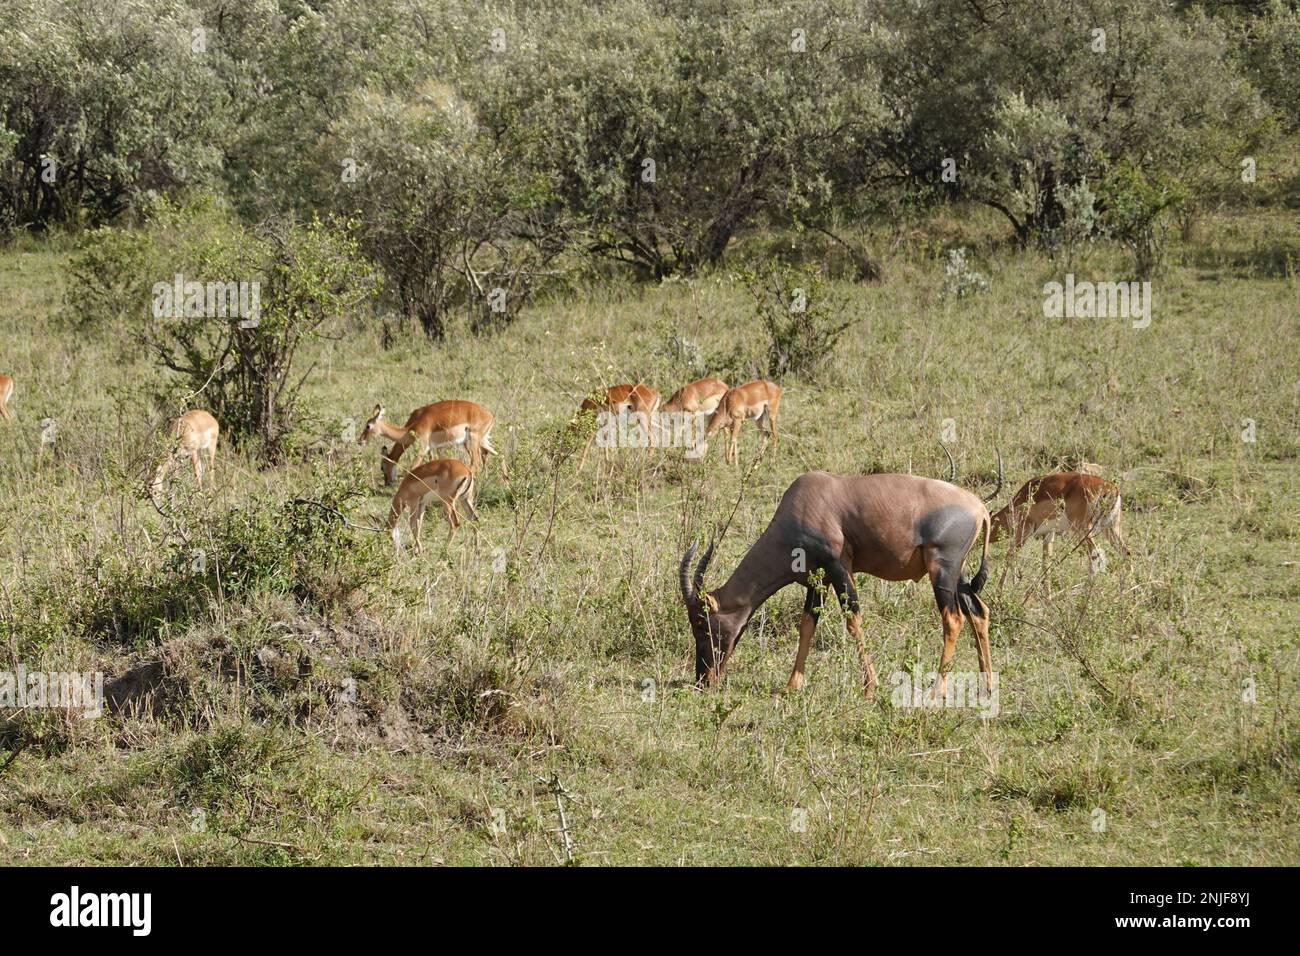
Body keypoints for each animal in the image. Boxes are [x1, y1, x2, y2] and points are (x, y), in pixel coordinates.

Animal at [359, 400, 498, 485]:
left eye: (368, 426)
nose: (360, 441)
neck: (414, 424)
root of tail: (489, 415)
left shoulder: (422, 448)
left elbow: (413, 468)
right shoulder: (431, 449)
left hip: (471, 442)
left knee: (477, 463)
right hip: (481, 441)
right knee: (496, 454)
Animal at [680, 469, 996, 700]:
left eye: (702, 622)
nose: (703, 680)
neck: (806, 500)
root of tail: (980, 508)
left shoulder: (839, 567)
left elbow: (853, 619)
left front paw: (870, 687)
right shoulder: (818, 577)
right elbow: (807, 624)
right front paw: (792, 686)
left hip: (942, 570)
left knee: (953, 619)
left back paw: (936, 690)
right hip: (957, 575)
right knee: (978, 610)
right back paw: (987, 685)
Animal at [990, 472, 1128, 573]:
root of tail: (1111, 488)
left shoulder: (1024, 532)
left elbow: (1009, 557)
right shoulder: (1048, 534)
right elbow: (1046, 565)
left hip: (1082, 530)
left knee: (1095, 556)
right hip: (1111, 528)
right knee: (1126, 553)